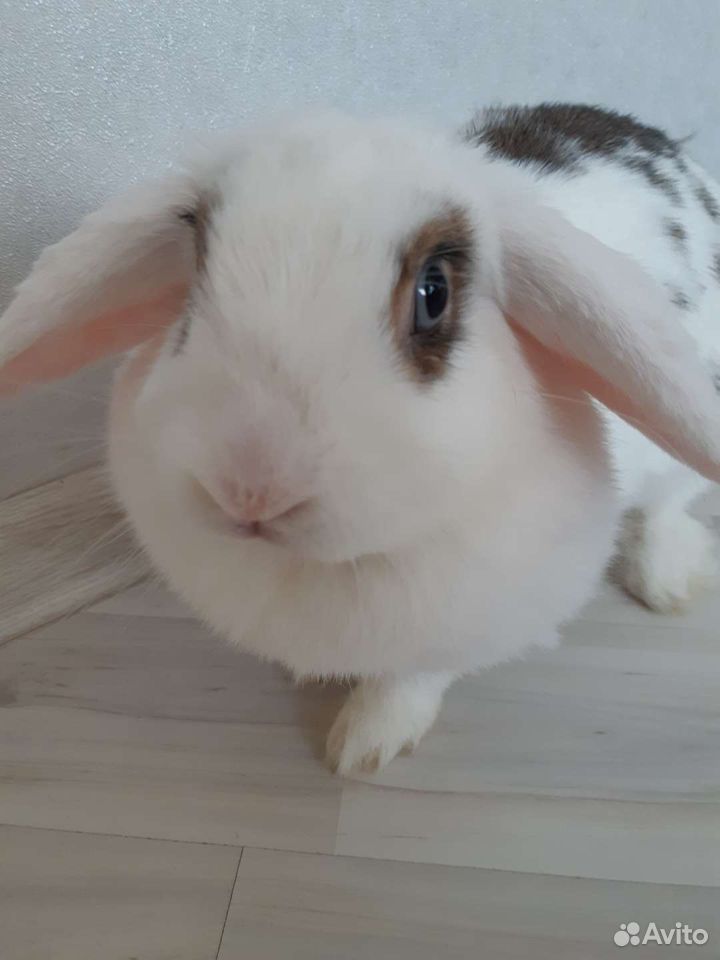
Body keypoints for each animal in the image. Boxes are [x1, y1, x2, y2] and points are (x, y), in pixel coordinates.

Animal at [2, 103, 720, 776]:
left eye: (434, 293)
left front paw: (363, 747)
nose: (251, 489)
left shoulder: (467, 626)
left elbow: (410, 680)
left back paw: (664, 583)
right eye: (195, 274)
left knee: (662, 509)